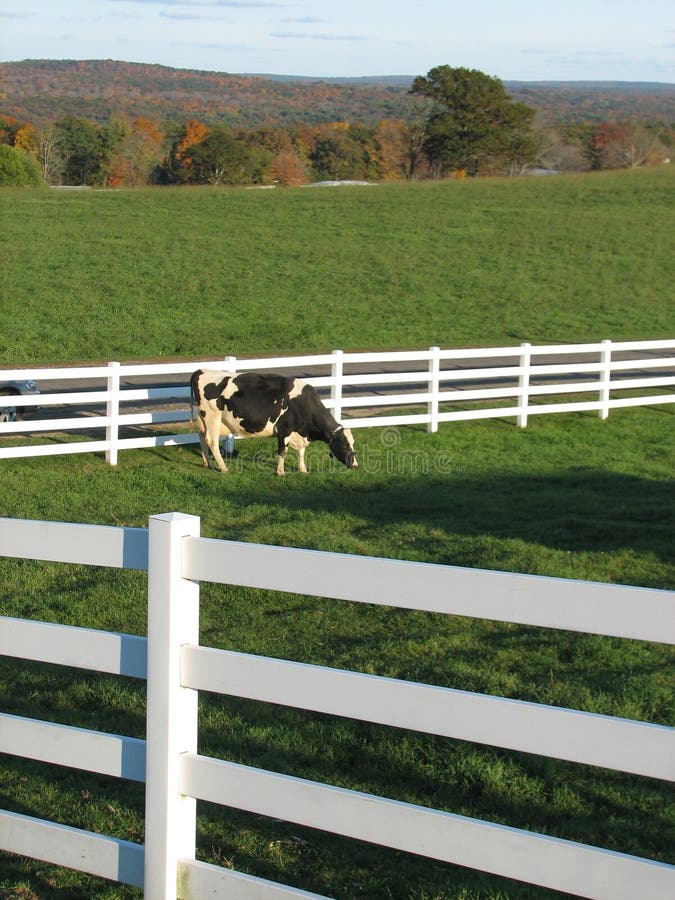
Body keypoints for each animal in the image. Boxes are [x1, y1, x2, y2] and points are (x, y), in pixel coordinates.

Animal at [190, 369, 357, 476]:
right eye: (344, 445)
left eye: (353, 443)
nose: (355, 465)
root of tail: (203, 371)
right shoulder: (284, 429)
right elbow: (283, 451)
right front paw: (280, 472)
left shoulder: (299, 432)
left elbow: (301, 452)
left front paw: (303, 470)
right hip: (212, 417)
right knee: (212, 441)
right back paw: (223, 468)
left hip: (203, 419)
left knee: (202, 437)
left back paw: (208, 463)